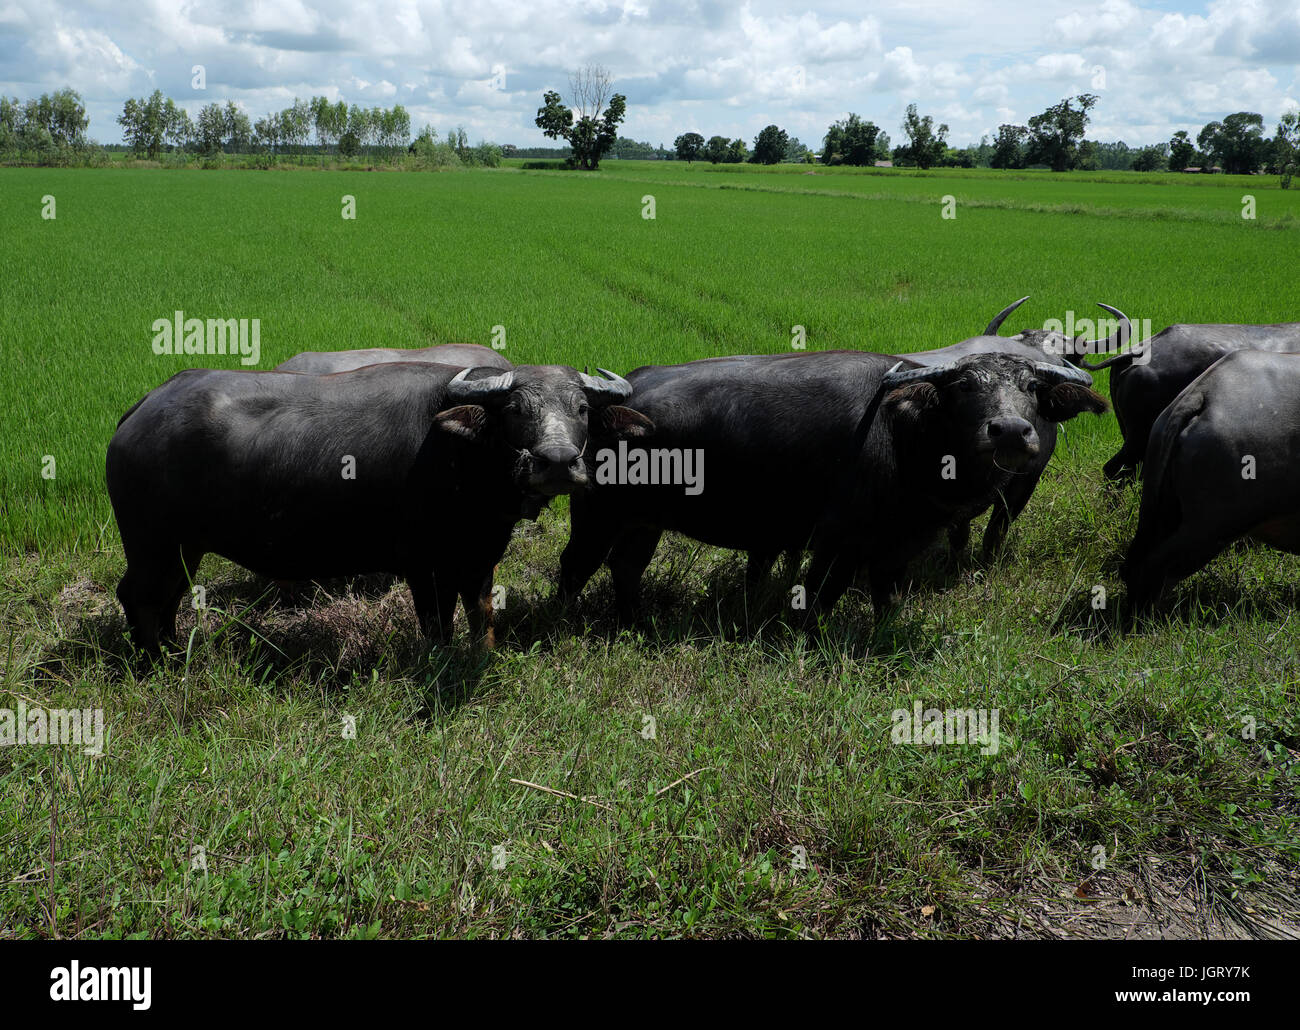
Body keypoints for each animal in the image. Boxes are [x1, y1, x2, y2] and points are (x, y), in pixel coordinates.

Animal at [107, 362, 644, 653]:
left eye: (580, 409)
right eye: (515, 410)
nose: (558, 462)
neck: (457, 452)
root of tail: (143, 408)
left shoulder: (477, 556)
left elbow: (482, 613)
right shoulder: (422, 565)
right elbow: (437, 623)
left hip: (184, 547)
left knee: (171, 596)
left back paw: (173, 650)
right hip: (151, 545)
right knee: (138, 595)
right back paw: (154, 662)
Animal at [558, 350, 1106, 623]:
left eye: (1031, 388)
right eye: (965, 386)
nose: (1010, 431)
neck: (905, 433)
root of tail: (607, 403)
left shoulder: (897, 540)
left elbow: (888, 590)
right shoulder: (839, 534)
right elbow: (825, 590)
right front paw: (810, 631)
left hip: (643, 521)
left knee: (626, 566)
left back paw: (637, 621)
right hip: (597, 514)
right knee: (576, 564)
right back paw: (563, 623)